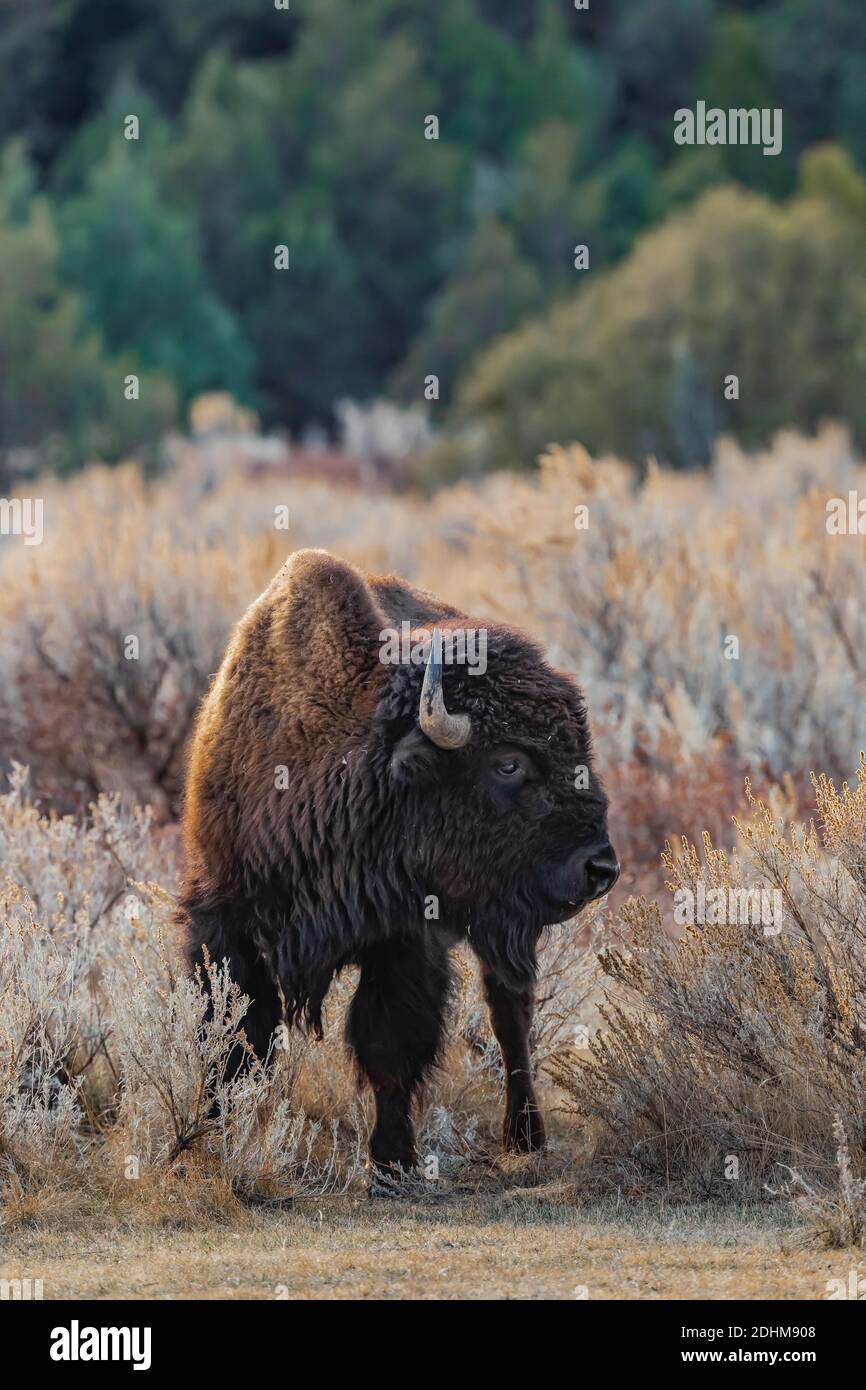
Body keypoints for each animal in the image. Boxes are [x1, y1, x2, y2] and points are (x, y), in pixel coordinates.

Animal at [180, 549, 618, 1176]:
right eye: (508, 763)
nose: (600, 868)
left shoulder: (406, 939)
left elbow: (389, 1043)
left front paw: (392, 1161)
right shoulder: (222, 917)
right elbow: (233, 1034)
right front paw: (212, 1138)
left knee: (511, 1015)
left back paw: (525, 1136)